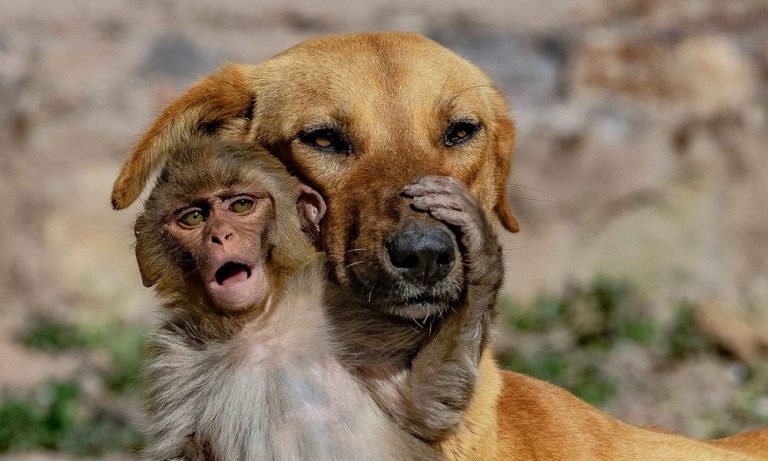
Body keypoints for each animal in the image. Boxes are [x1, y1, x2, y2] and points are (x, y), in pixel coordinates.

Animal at [133, 139, 504, 459]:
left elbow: (418, 405)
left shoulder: (342, 312)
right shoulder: (176, 358)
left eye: (241, 205)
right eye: (194, 217)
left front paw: (480, 247)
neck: (256, 326)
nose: (219, 236)